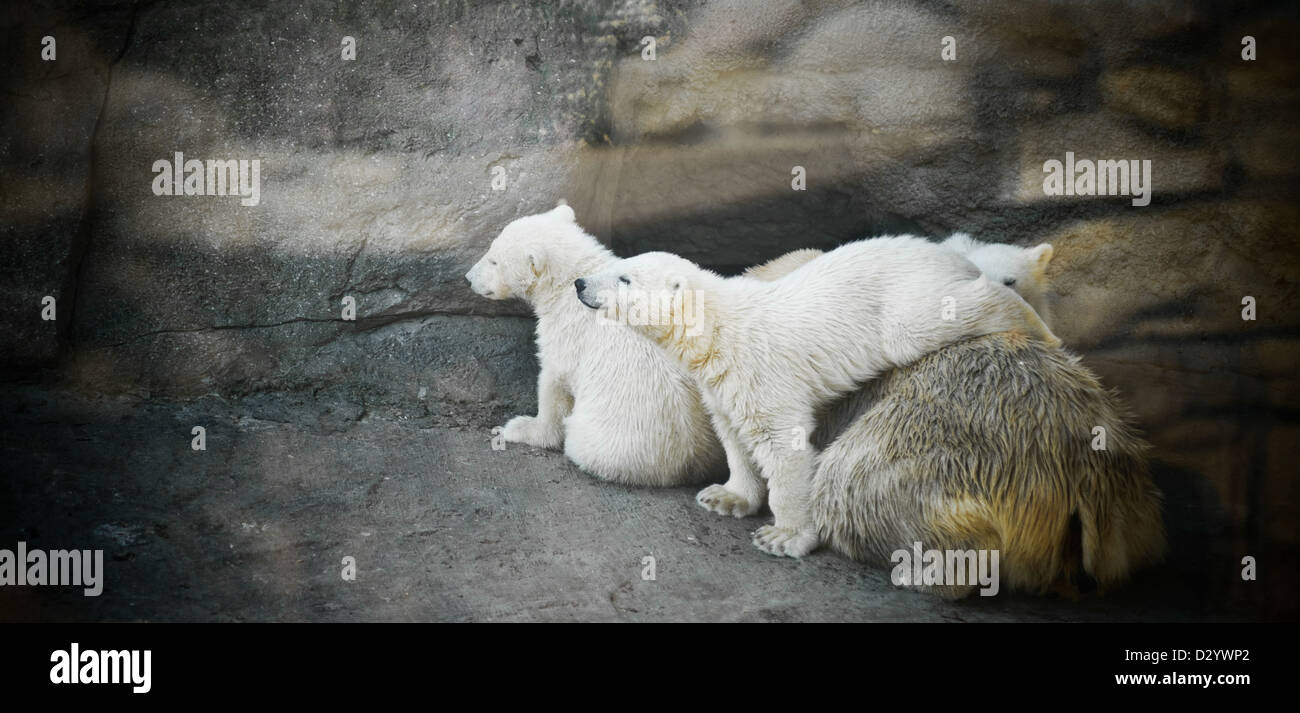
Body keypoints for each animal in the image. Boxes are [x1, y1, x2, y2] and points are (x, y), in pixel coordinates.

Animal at [574, 236, 1061, 557]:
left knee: (940, 317)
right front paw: (727, 497)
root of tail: (941, 251)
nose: (580, 283)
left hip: (902, 305)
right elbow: (733, 436)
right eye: (621, 263)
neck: (717, 327)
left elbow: (783, 446)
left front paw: (784, 536)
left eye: (624, 276)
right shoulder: (720, 381)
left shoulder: (762, 369)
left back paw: (1040, 327)